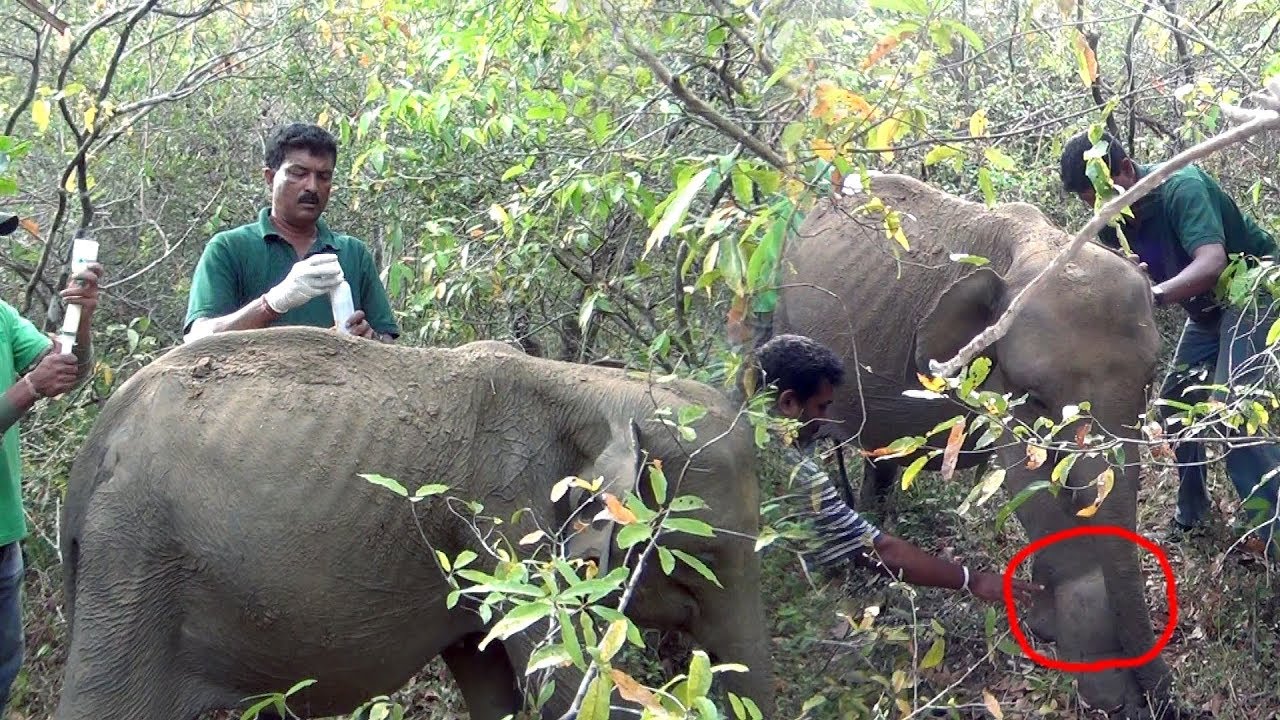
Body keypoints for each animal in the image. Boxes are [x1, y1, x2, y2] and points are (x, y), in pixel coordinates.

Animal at [54, 327, 772, 720]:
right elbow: (567, 679)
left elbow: (496, 682)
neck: (594, 387)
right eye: (706, 562)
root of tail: (92, 450)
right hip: (134, 559)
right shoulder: (508, 522)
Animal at [768, 174, 1175, 718]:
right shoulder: (996, 379)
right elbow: (1029, 486)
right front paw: (1104, 690)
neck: (1041, 245)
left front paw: (1045, 626)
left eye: (1150, 382)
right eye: (1036, 395)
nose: (1164, 700)